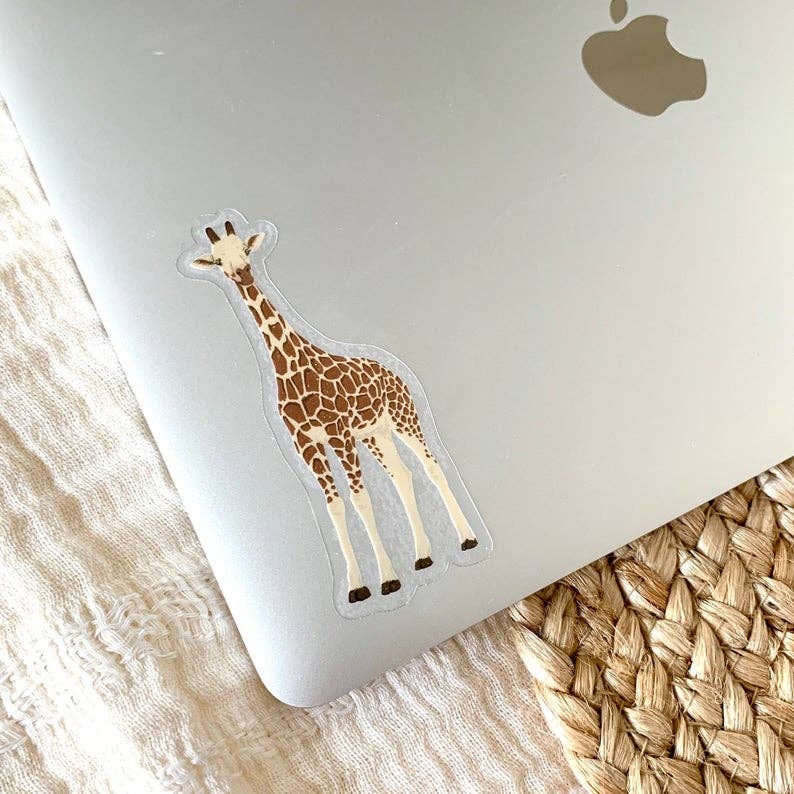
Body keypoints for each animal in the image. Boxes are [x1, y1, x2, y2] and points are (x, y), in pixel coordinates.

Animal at [192, 220, 478, 603]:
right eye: (217, 260)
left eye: (246, 249)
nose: (242, 273)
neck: (290, 369)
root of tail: (395, 372)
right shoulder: (306, 444)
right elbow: (335, 506)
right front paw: (357, 587)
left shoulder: (338, 434)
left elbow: (361, 499)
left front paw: (388, 581)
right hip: (375, 435)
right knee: (402, 475)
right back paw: (422, 558)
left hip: (404, 417)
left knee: (431, 465)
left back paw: (467, 539)